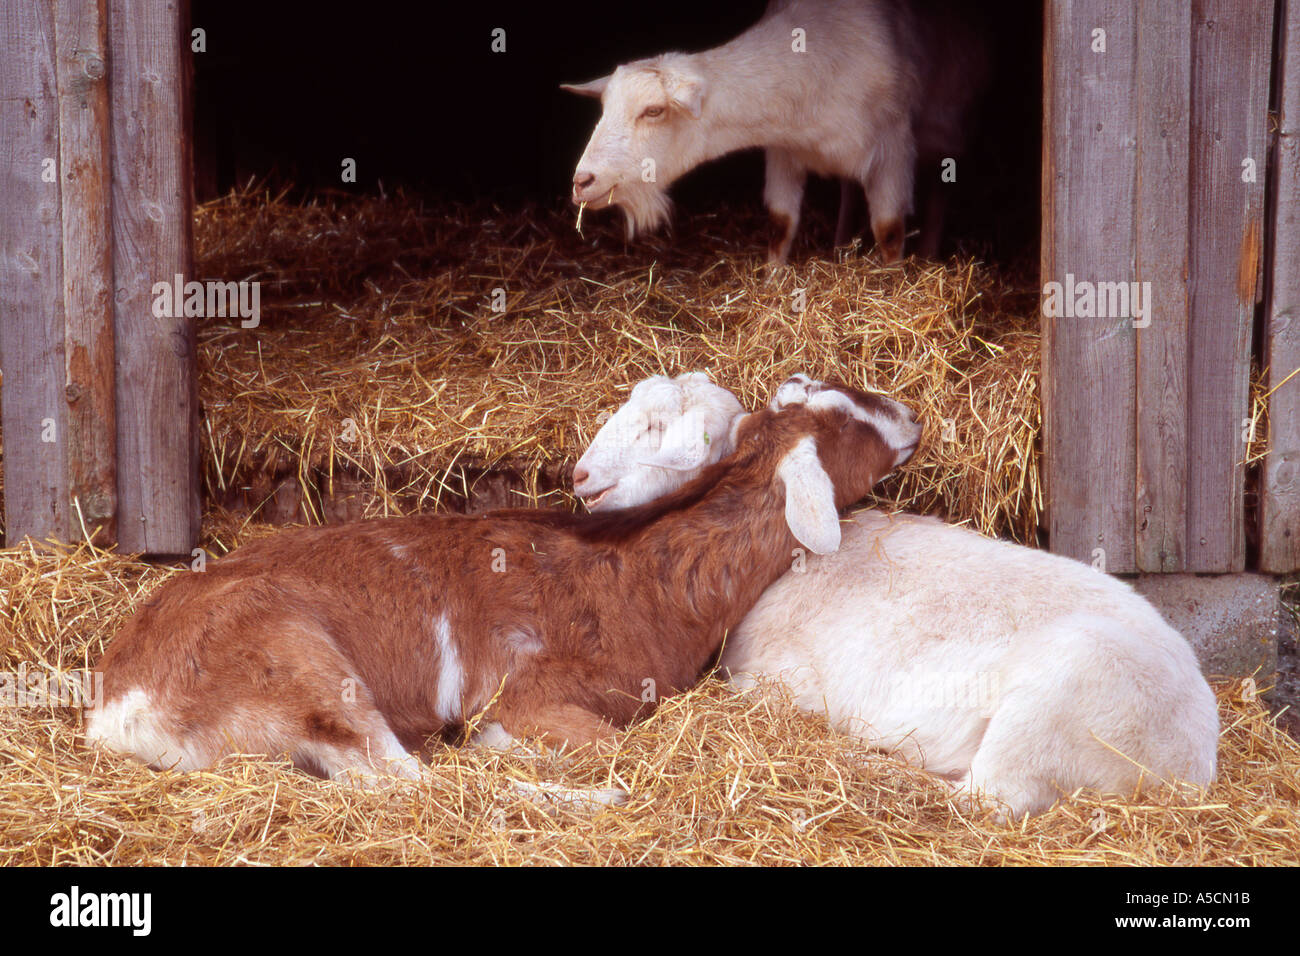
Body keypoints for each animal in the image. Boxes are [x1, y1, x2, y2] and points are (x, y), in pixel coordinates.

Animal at [84, 384, 902, 790]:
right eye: (848, 427)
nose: (910, 415)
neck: (637, 578)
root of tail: (121, 711)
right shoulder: (533, 693)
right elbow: (589, 741)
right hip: (301, 661)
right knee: (414, 782)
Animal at [574, 373, 1219, 819]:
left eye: (663, 432)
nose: (580, 478)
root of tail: (1191, 761)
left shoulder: (775, 678)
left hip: (1057, 697)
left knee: (988, 797)